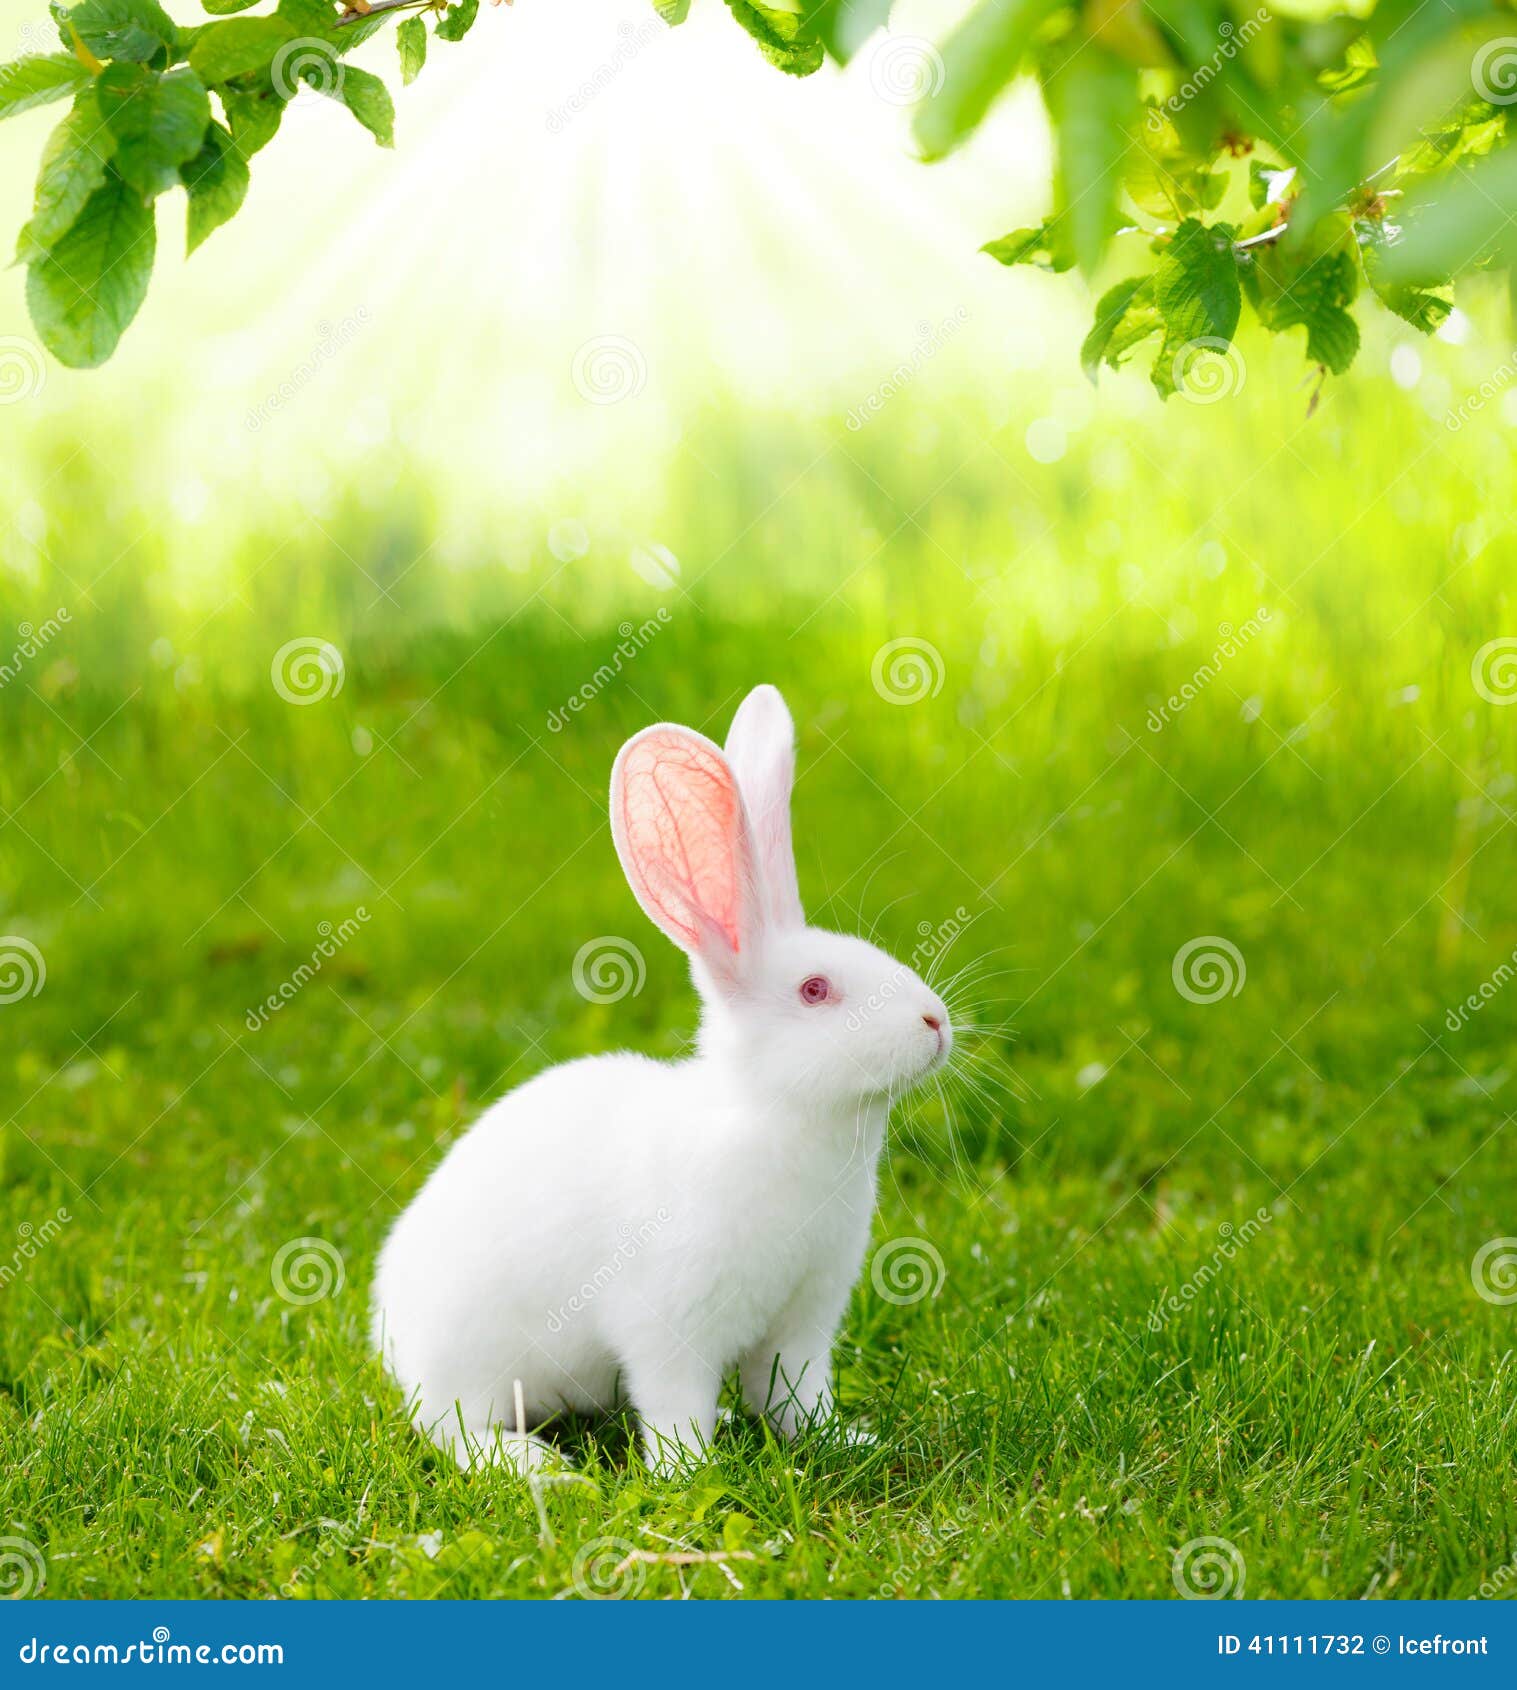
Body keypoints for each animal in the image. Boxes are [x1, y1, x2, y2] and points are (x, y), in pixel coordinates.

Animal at [371, 684, 952, 1475]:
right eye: (814, 991)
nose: (936, 1022)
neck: (778, 1119)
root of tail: (390, 1329)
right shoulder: (668, 1328)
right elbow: (675, 1406)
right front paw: (689, 1473)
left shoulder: (802, 1321)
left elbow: (794, 1399)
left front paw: (843, 1439)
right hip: (472, 1363)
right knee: (450, 1427)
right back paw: (542, 1471)